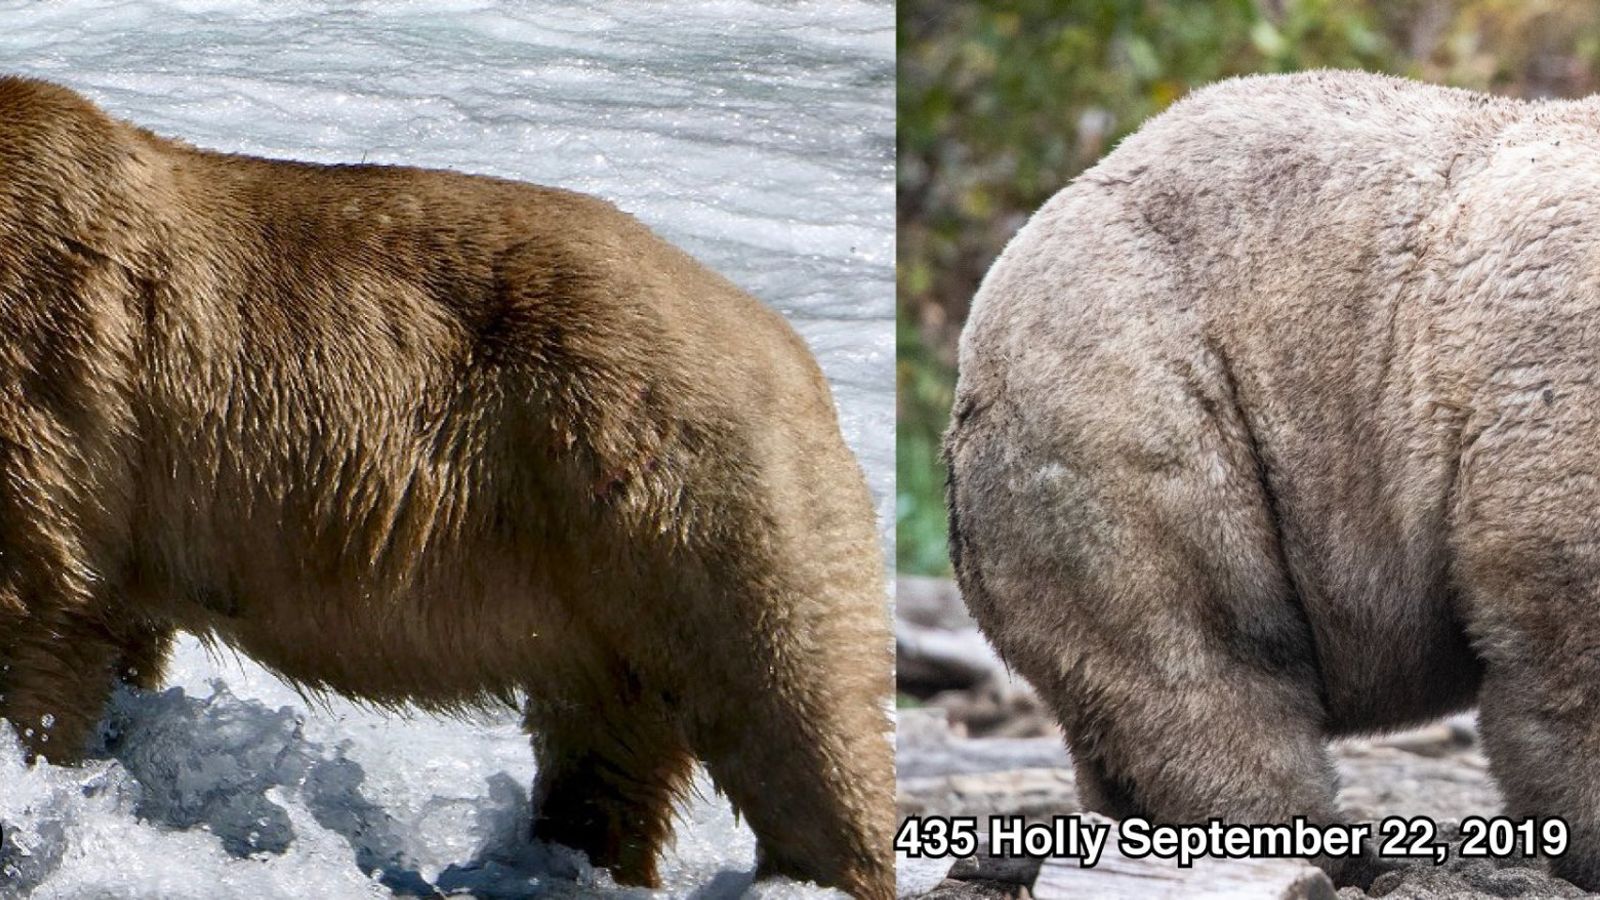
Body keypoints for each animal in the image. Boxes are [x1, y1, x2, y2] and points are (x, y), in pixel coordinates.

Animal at [0, 76, 892, 899]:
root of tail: (789, 348)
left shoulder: (43, 380)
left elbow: (40, 617)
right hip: (608, 591)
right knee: (606, 754)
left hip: (689, 509)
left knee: (795, 723)